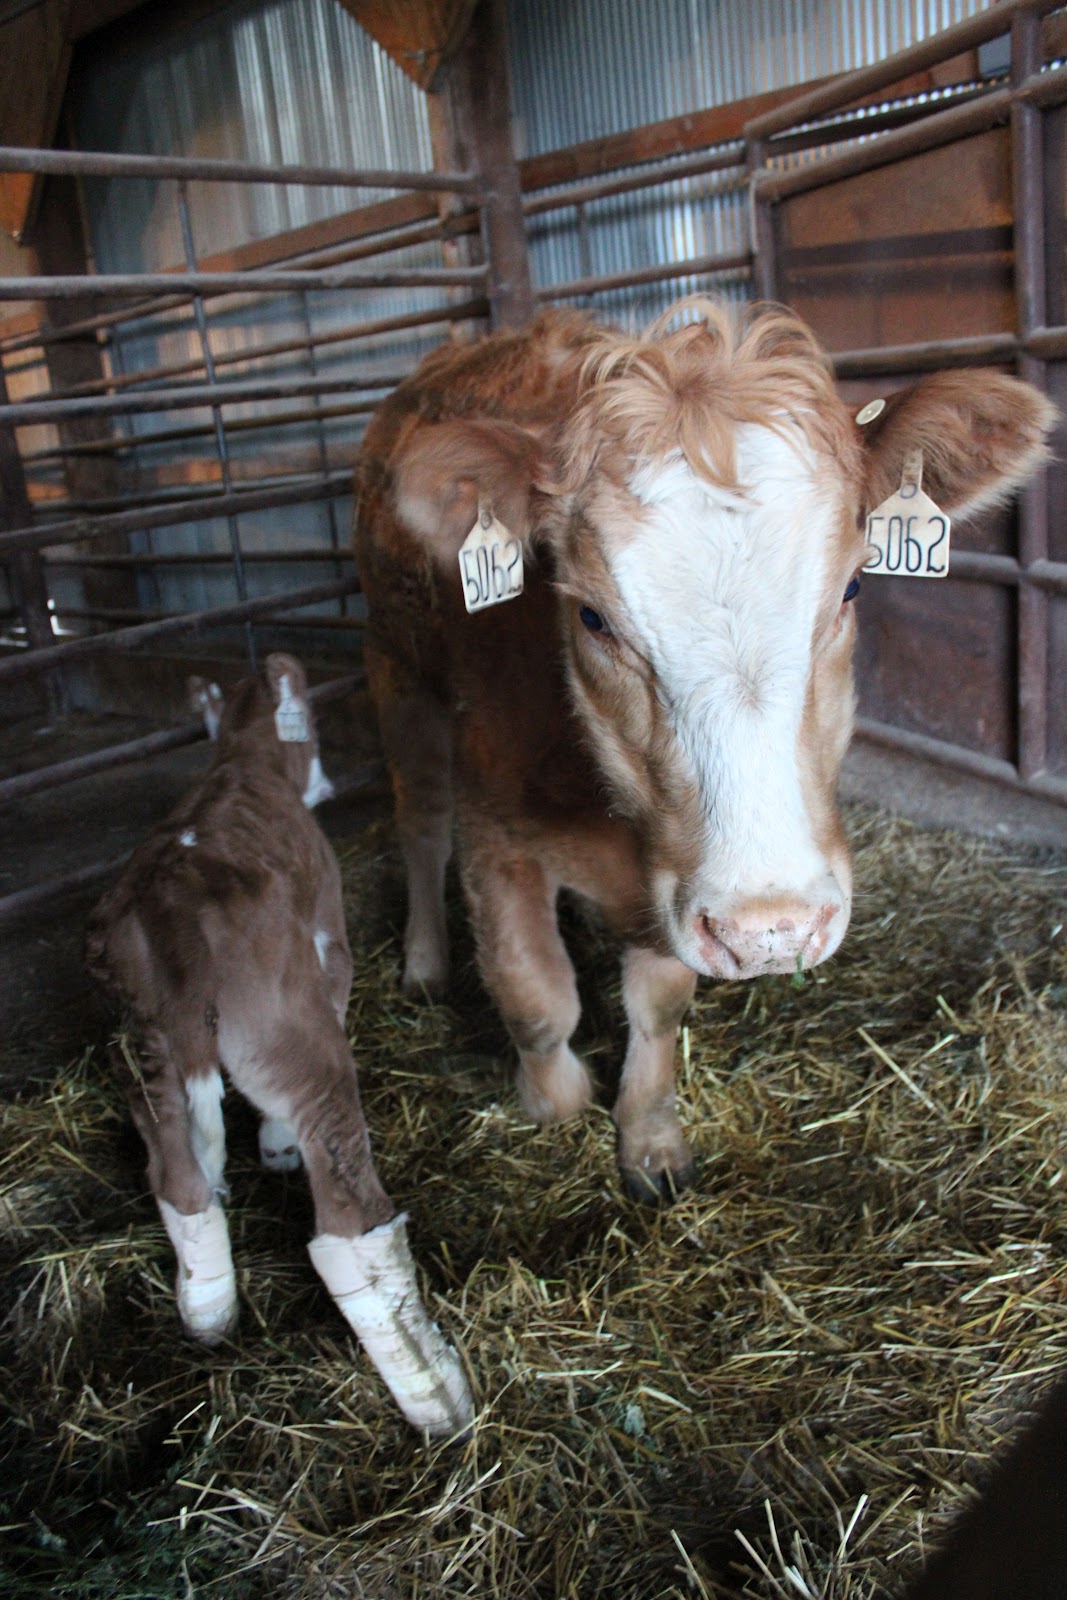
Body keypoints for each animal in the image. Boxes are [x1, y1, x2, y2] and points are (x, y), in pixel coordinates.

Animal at [86, 653, 472, 1437]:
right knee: (348, 1221)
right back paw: (439, 1395)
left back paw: (208, 1315)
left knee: (178, 1179)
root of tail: (168, 901)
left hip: (143, 1054)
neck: (243, 761)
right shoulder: (330, 941)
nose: (325, 782)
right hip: (299, 1040)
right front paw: (277, 1145)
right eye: (314, 727)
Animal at [353, 297, 1056, 1202]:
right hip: (393, 666)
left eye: (851, 588)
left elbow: (657, 1006)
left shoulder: (677, 879)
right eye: (591, 617)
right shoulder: (494, 830)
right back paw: (424, 963)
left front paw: (650, 1143)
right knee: (418, 821)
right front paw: (545, 1103)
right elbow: (536, 998)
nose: (772, 930)